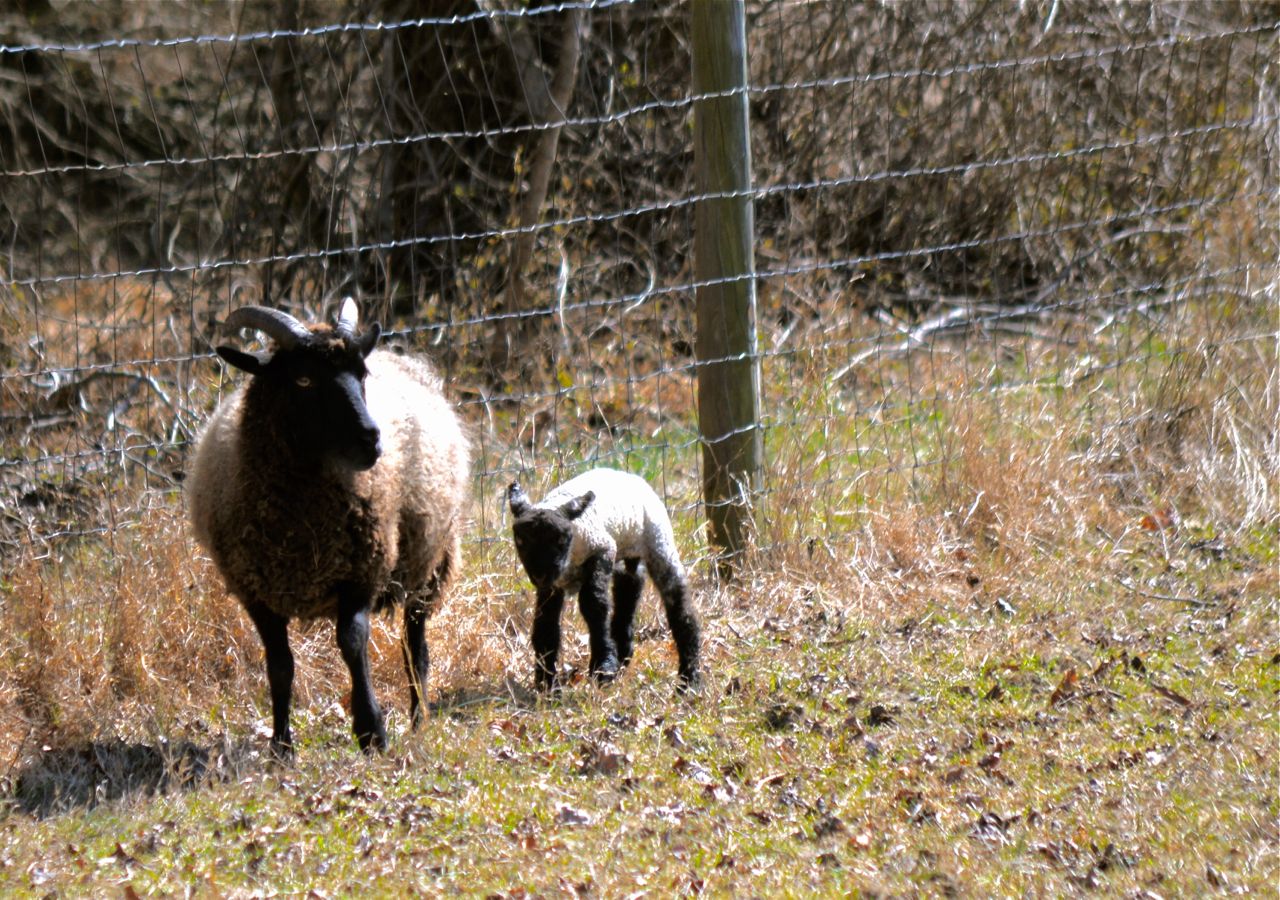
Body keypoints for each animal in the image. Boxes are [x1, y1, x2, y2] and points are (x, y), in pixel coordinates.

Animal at [187, 299, 470, 755]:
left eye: (361, 374)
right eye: (302, 379)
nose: (371, 439)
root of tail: (407, 361)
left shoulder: (361, 571)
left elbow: (353, 646)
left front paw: (372, 730)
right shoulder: (255, 590)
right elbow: (279, 665)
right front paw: (281, 745)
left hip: (429, 560)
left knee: (416, 648)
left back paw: (417, 722)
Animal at [507, 468, 702, 692]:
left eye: (561, 540)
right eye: (520, 541)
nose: (540, 573)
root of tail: (630, 475)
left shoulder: (602, 550)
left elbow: (594, 605)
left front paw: (604, 668)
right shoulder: (552, 586)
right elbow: (545, 623)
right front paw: (546, 684)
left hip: (658, 539)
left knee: (679, 604)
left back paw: (689, 680)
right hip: (626, 556)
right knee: (630, 589)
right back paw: (624, 652)